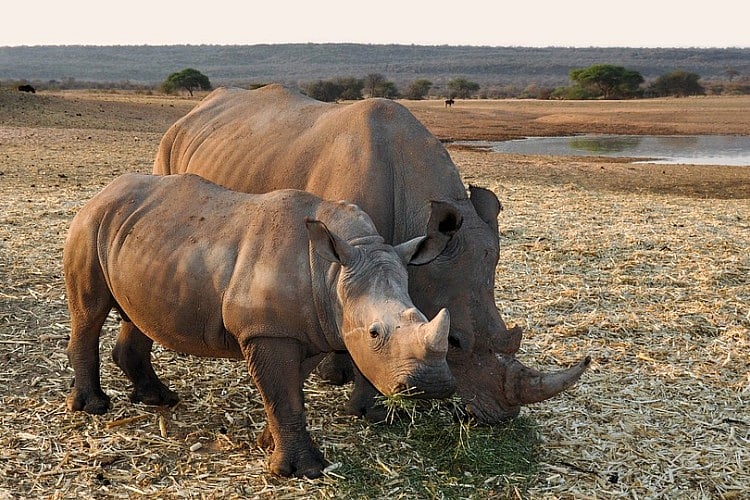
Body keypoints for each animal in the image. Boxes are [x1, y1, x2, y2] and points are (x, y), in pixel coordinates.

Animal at [64, 172, 455, 478]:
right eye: (375, 333)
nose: (432, 386)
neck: (332, 273)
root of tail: (103, 192)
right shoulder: (267, 330)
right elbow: (283, 394)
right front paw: (303, 470)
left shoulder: (306, 327)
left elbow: (289, 388)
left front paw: (267, 441)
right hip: (90, 223)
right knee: (89, 311)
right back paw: (93, 407)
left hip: (142, 238)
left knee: (138, 314)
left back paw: (158, 399)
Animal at [152, 84, 590, 423]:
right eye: (455, 343)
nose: (501, 416)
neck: (419, 213)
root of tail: (197, 109)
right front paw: (353, 395)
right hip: (169, 143)